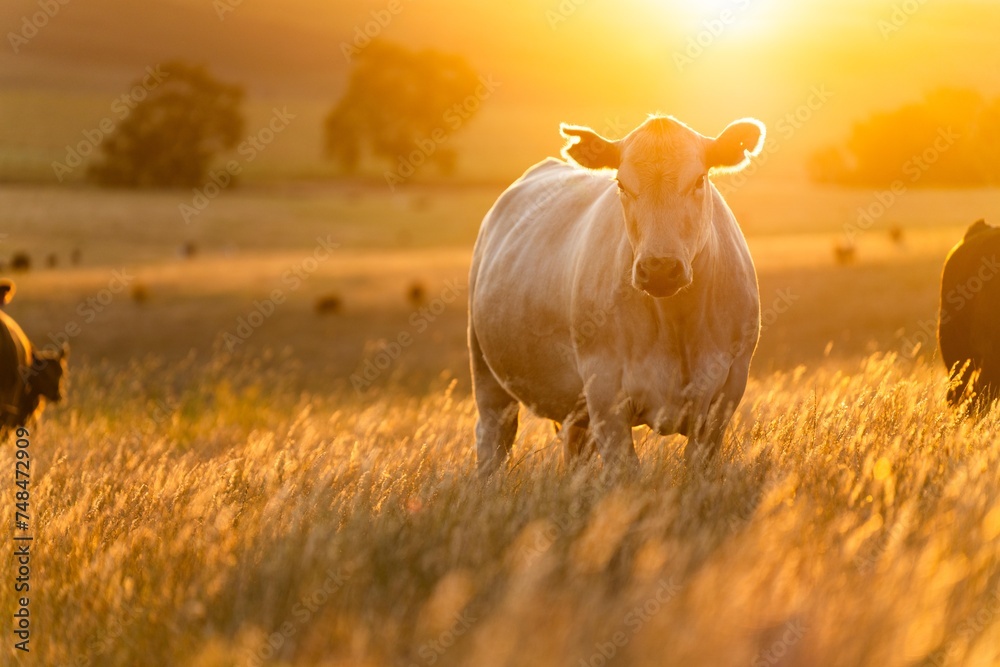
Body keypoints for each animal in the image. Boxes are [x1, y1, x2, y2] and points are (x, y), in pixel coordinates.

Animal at [468, 115, 765, 475]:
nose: (659, 267)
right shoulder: (605, 393)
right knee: (493, 438)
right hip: (486, 372)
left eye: (699, 179)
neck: (676, 323)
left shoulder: (725, 394)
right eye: (621, 185)